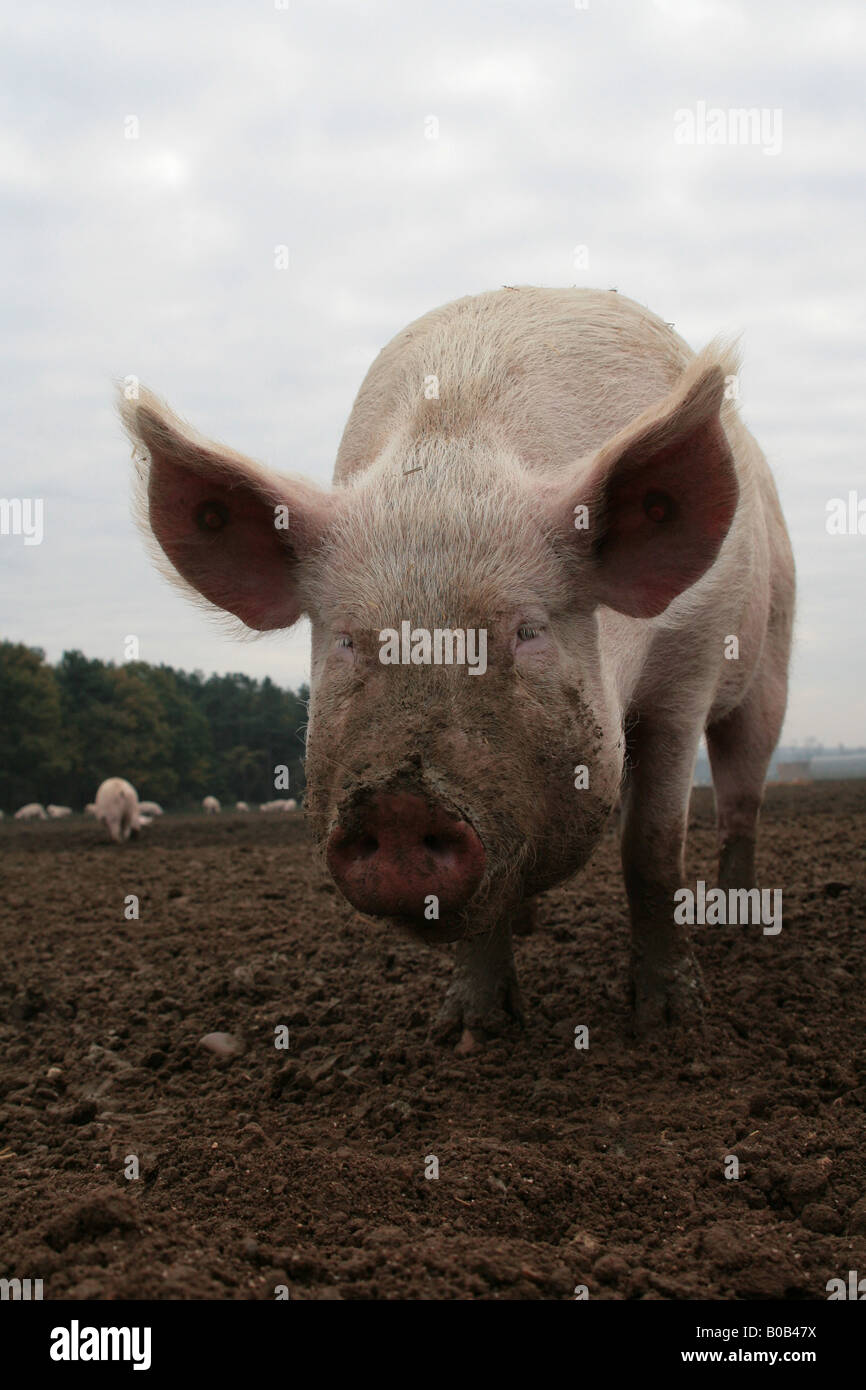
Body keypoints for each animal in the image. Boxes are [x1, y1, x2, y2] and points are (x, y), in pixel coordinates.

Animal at [121, 287, 794, 1042]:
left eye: (528, 631)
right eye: (348, 640)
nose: (398, 802)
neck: (452, 440)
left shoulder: (691, 661)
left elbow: (651, 848)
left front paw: (671, 1019)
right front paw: (468, 1031)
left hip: (770, 664)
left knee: (742, 795)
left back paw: (737, 925)